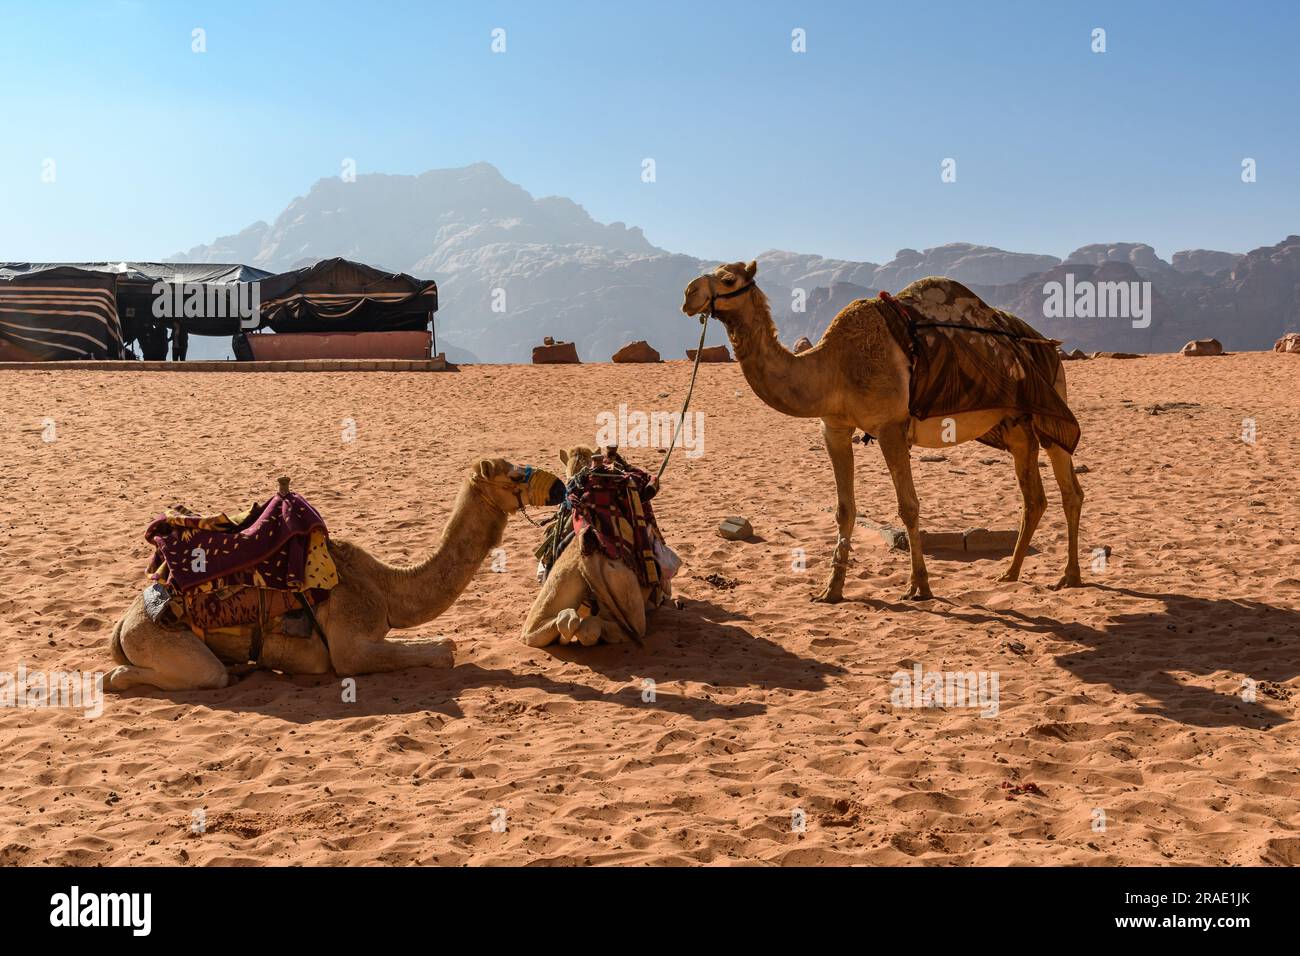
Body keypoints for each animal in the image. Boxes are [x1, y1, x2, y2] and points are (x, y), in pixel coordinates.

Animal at [107, 458, 565, 691]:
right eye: (514, 473)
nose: (560, 486)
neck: (386, 588)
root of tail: (124, 623)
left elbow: (442, 642)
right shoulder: (349, 646)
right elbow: (440, 652)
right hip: (160, 639)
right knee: (193, 676)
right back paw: (123, 677)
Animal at [681, 261, 1084, 602]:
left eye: (728, 279)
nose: (688, 293)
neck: (833, 367)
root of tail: (1047, 345)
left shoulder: (891, 428)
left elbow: (908, 507)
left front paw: (919, 586)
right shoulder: (834, 428)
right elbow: (844, 509)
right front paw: (831, 590)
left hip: (1051, 410)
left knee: (1068, 489)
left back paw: (1068, 576)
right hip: (1017, 427)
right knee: (1036, 498)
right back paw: (1012, 573)